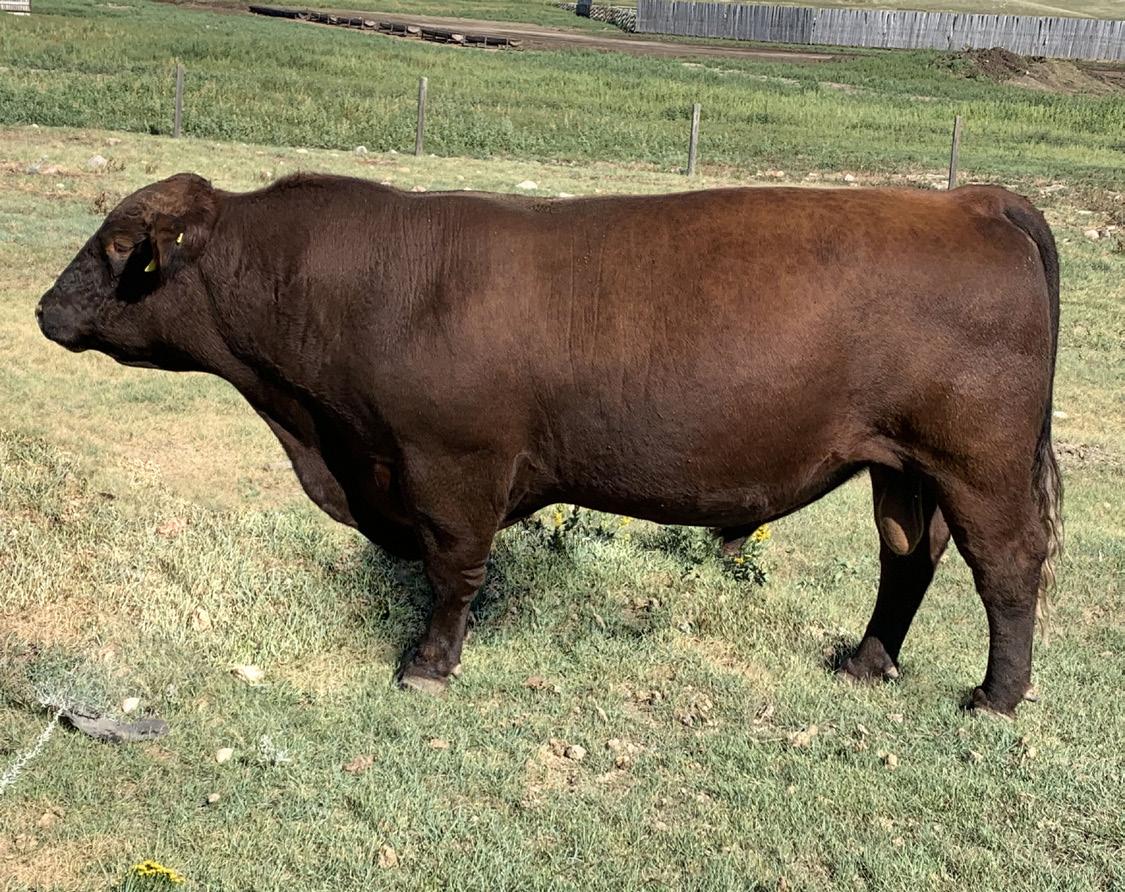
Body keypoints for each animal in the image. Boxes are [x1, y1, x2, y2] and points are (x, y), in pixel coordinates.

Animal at [37, 173, 1061, 715]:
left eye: (115, 245)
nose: (45, 309)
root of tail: (972, 200)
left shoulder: (452, 465)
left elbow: (453, 571)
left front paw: (426, 664)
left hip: (977, 460)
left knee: (1006, 565)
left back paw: (994, 697)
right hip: (902, 464)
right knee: (907, 558)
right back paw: (865, 661)